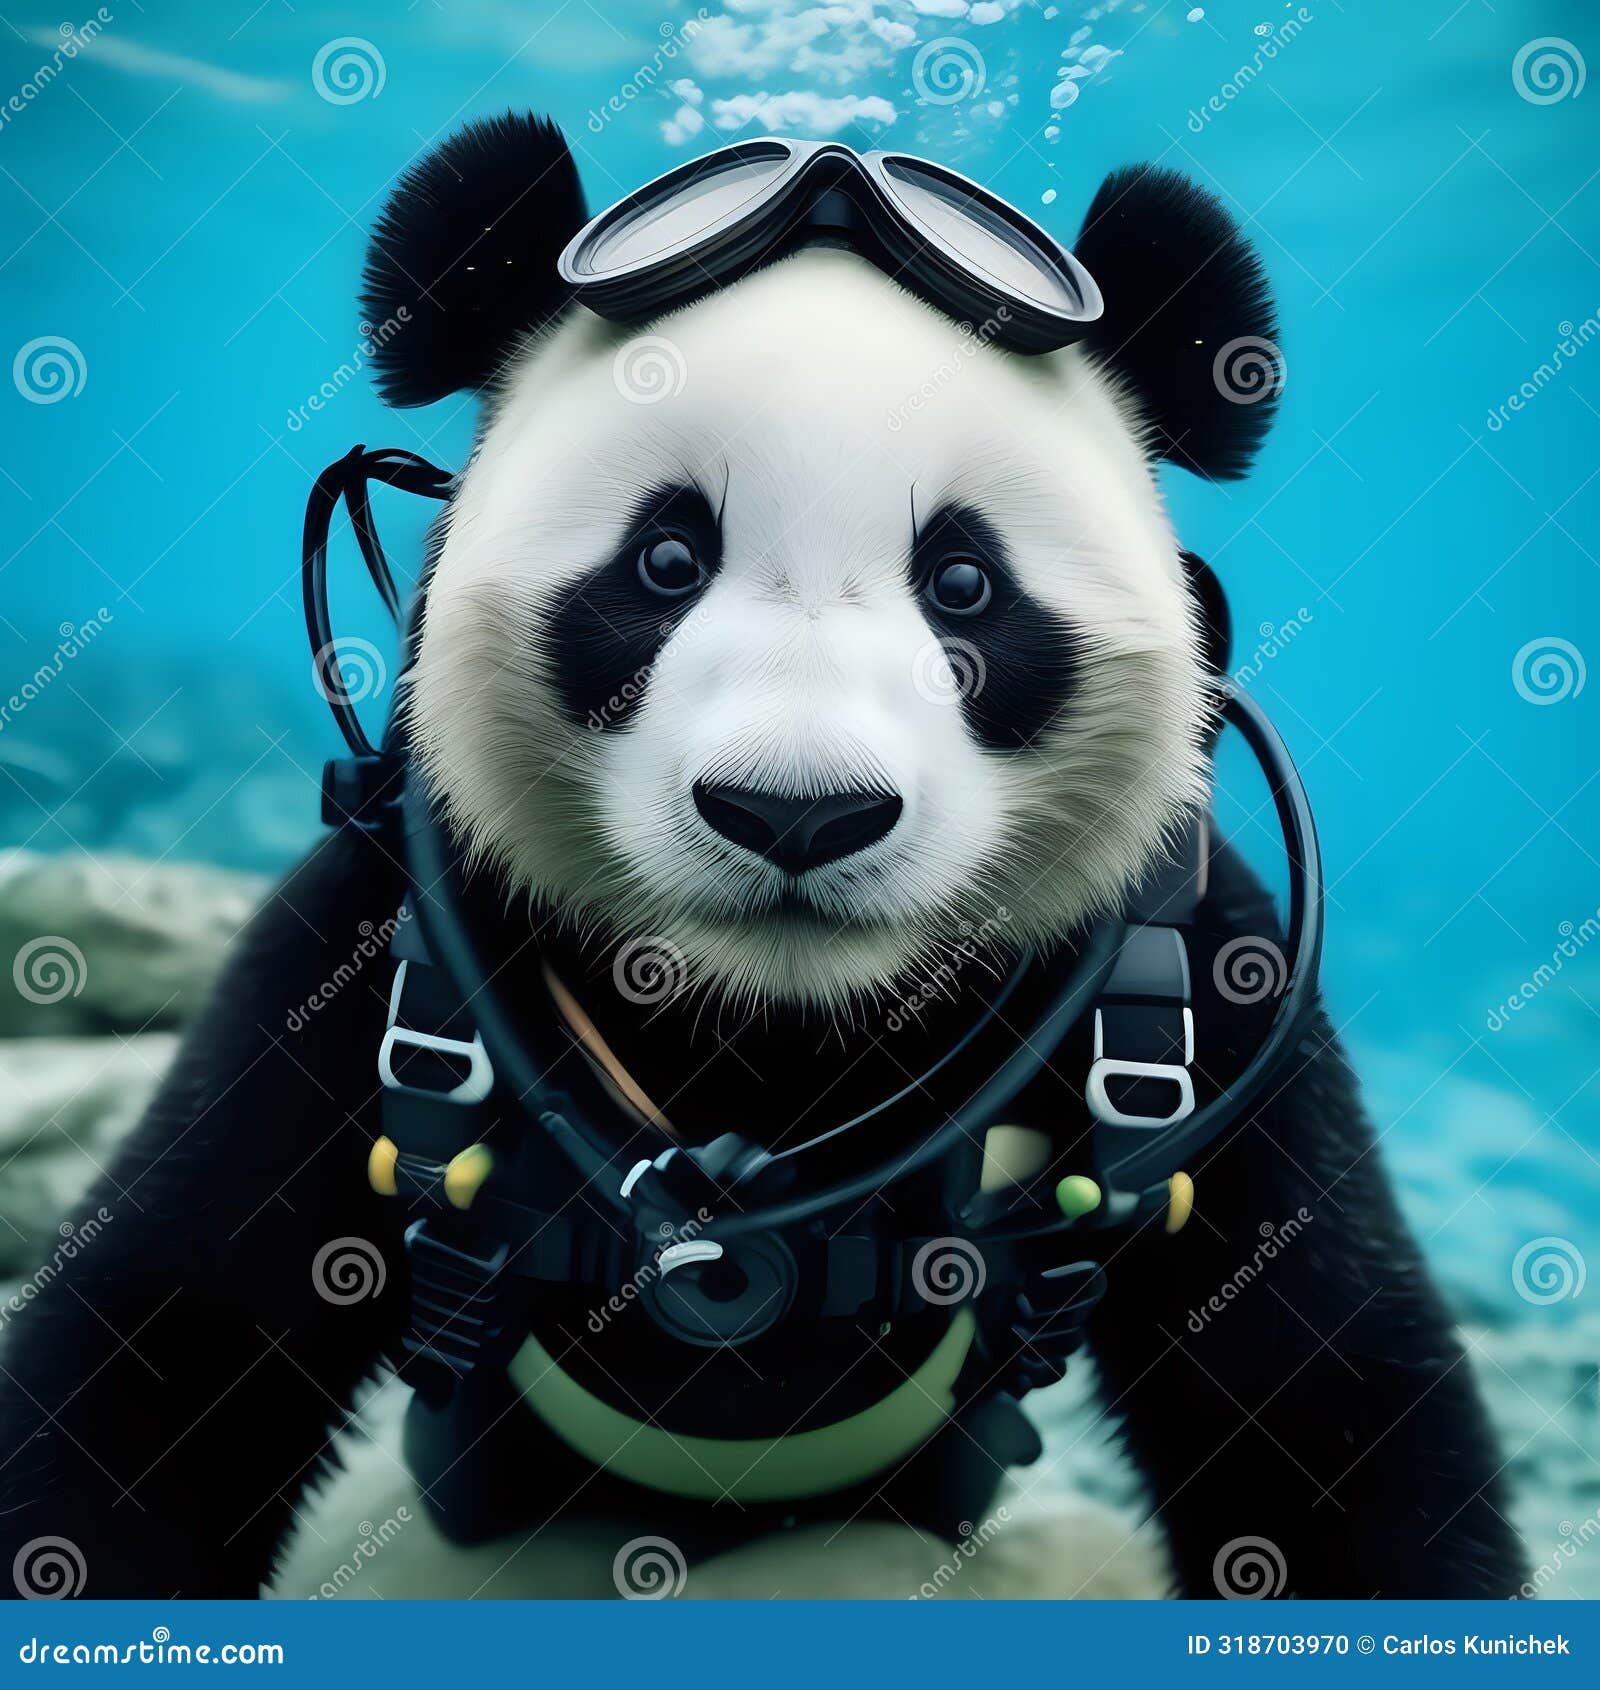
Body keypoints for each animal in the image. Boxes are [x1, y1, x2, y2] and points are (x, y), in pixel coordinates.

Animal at [0, 113, 1523, 1601]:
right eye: (665, 560)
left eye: (963, 582)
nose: (795, 814)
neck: (772, 1035)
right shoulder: (366, 922)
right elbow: (166, 1325)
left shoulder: (1221, 958)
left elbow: (1332, 1383)